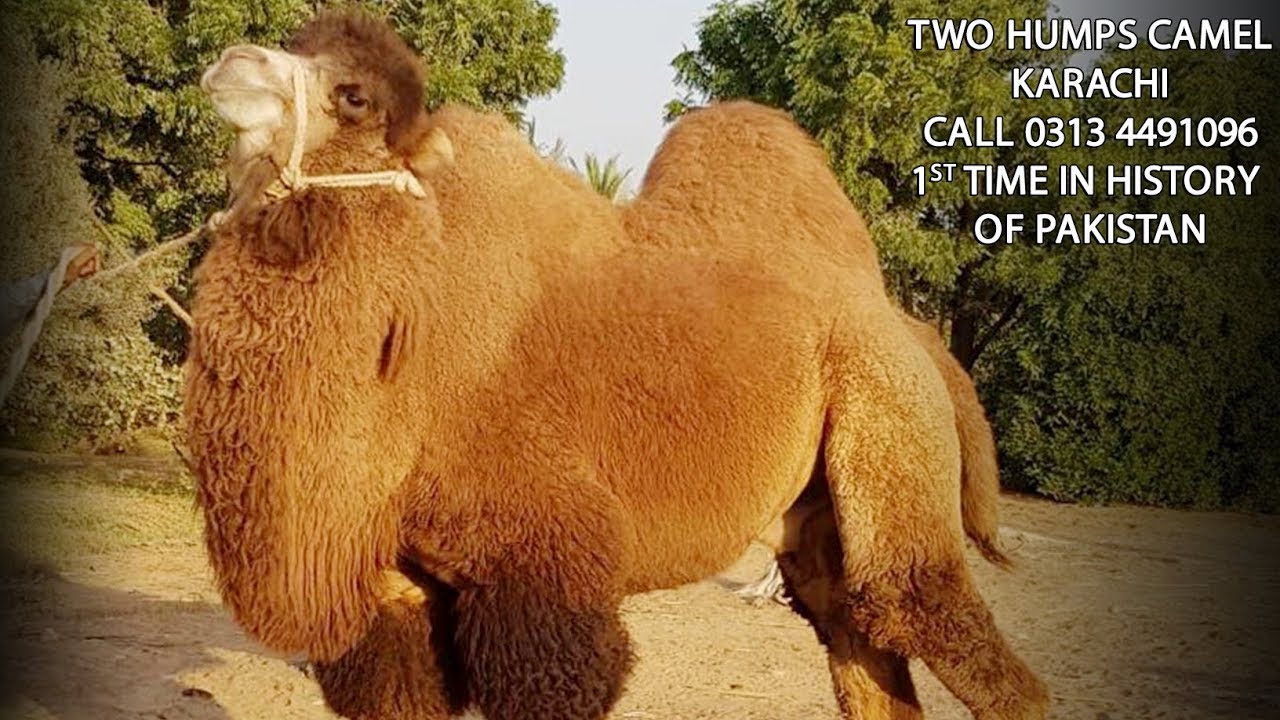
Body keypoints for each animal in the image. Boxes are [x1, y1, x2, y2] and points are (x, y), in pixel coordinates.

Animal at [186, 10, 1046, 720]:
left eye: (354, 95)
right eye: (294, 41)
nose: (229, 62)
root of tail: (913, 330)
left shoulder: (545, 568)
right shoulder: (393, 589)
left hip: (889, 415)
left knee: (928, 614)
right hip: (820, 531)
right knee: (862, 637)